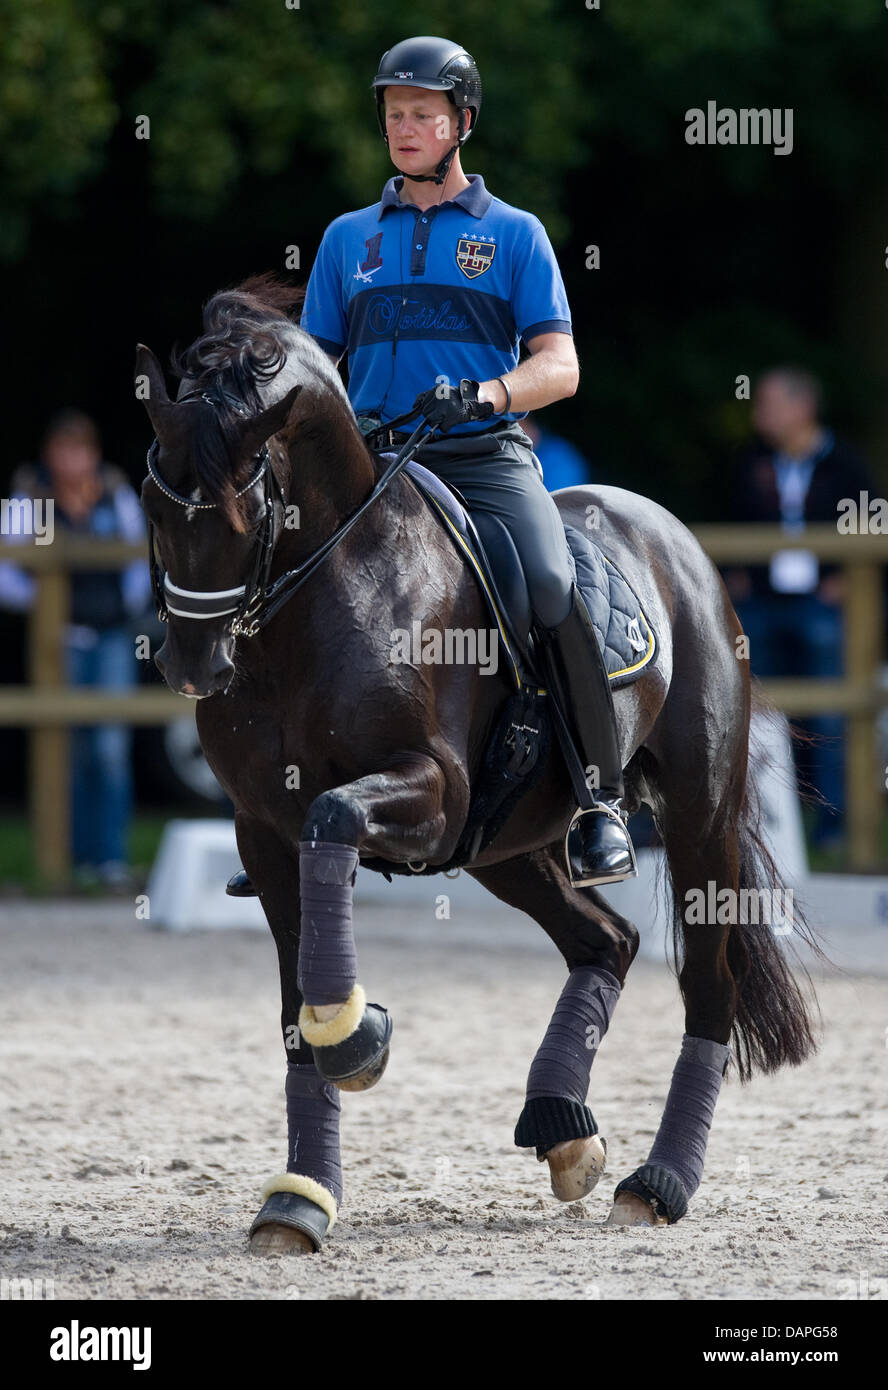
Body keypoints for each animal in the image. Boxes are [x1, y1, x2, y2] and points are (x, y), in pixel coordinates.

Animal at [136, 274, 819, 1253]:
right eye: (153, 507)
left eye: (247, 509)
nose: (195, 666)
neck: (324, 598)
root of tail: (667, 533)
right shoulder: (263, 832)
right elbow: (294, 1012)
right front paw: (301, 1197)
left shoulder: (433, 795)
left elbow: (333, 820)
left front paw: (360, 1038)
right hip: (508, 848)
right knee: (607, 942)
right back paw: (564, 1131)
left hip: (697, 818)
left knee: (708, 986)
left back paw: (659, 1183)